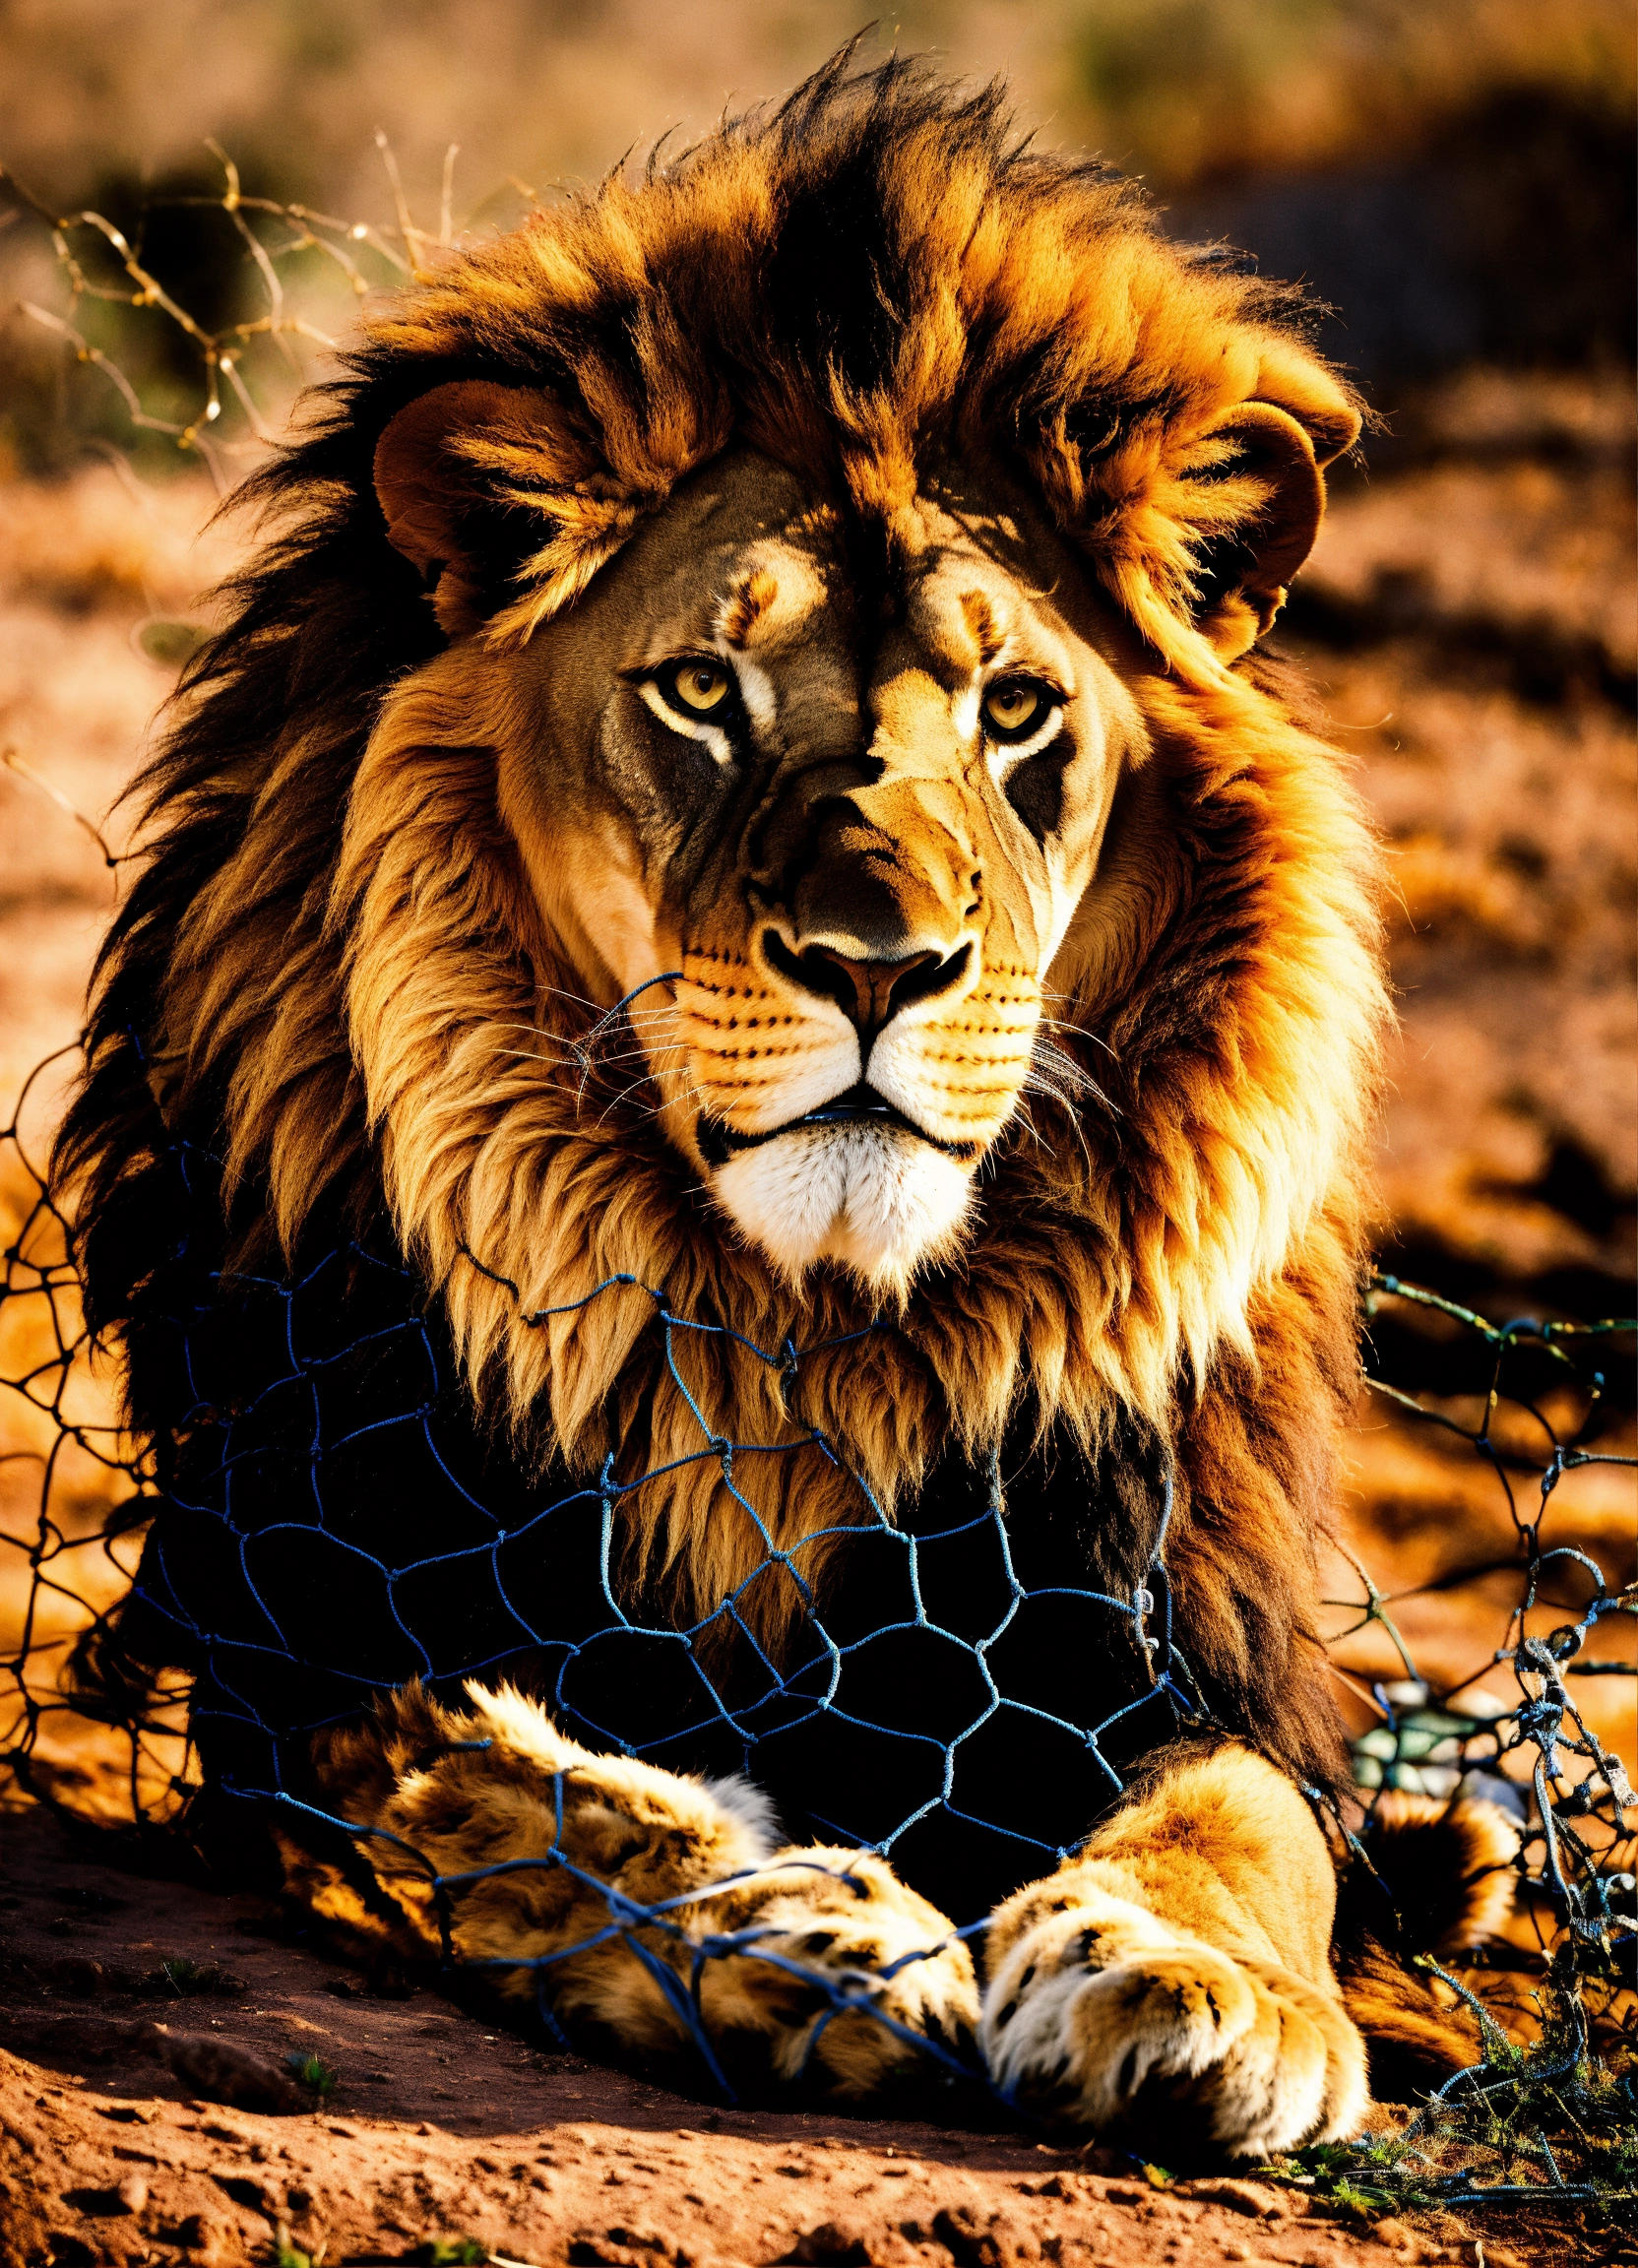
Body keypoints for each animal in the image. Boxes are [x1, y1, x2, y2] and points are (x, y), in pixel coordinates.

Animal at [57, 55, 1512, 2155]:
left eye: (1013, 710)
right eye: (697, 690)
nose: (876, 959)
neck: (795, 1339)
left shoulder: (1153, 1623)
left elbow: (1246, 1808)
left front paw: (1187, 1973)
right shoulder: (295, 1626)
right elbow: (480, 1785)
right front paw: (792, 1933)